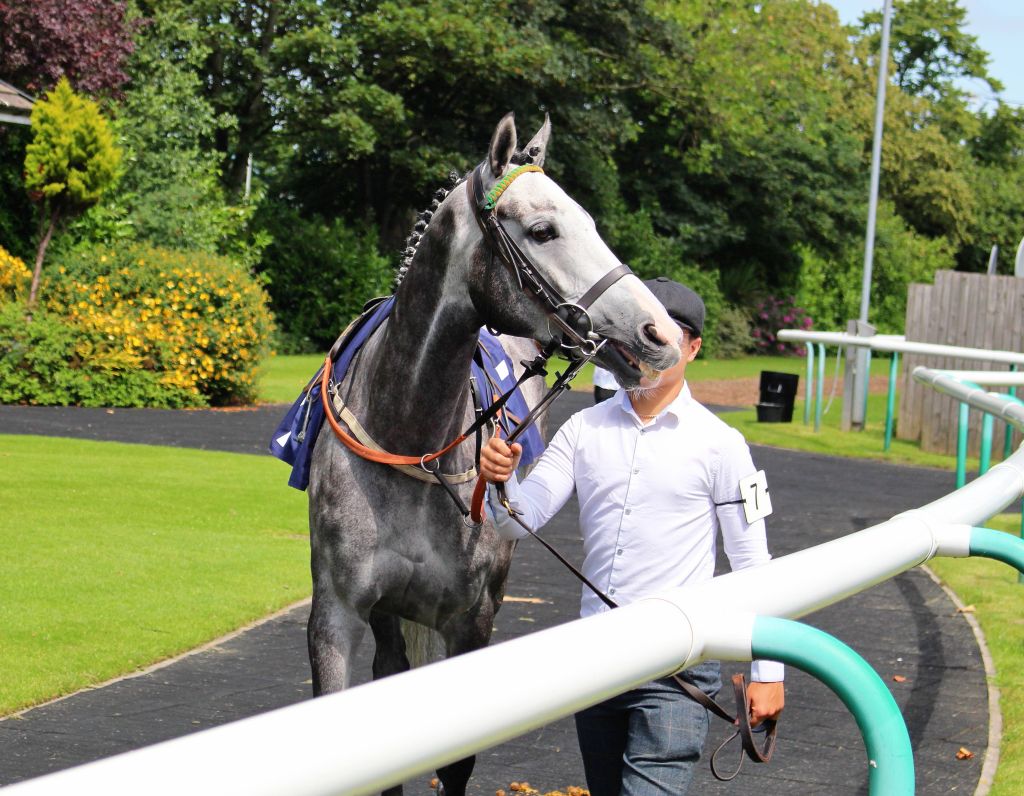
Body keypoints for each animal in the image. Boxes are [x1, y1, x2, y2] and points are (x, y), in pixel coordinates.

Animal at [306, 112, 683, 795]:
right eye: (543, 230)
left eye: (590, 221)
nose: (659, 332)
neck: (414, 446)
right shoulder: (337, 617)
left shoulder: (471, 619)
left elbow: (455, 763)